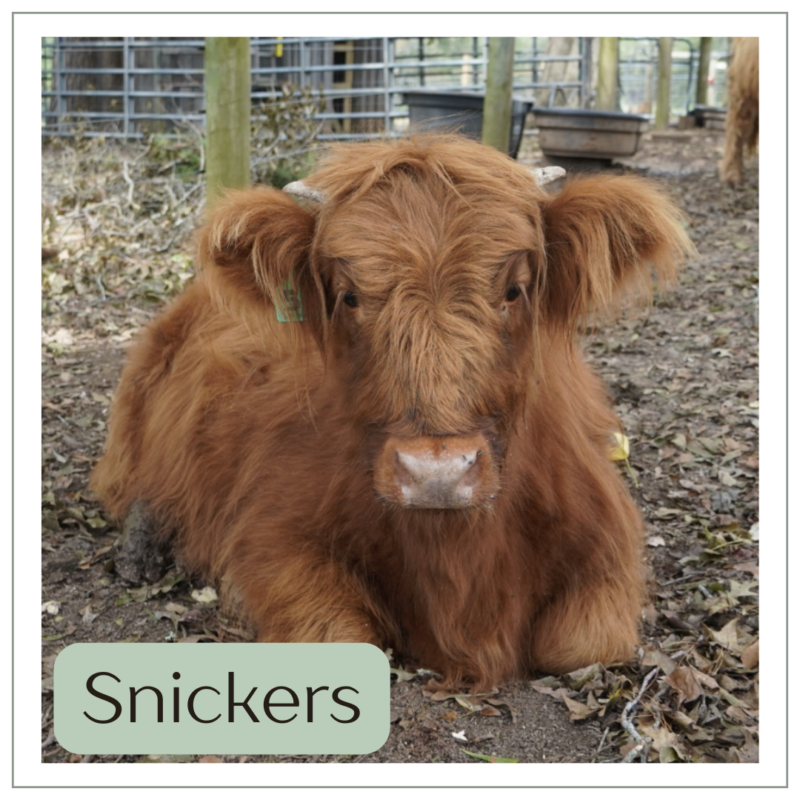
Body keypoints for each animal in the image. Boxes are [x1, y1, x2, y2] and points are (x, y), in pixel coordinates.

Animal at [92, 135, 692, 689]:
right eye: (349, 296)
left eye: (514, 290)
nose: (436, 473)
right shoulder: (273, 533)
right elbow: (340, 638)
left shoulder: (606, 546)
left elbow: (585, 646)